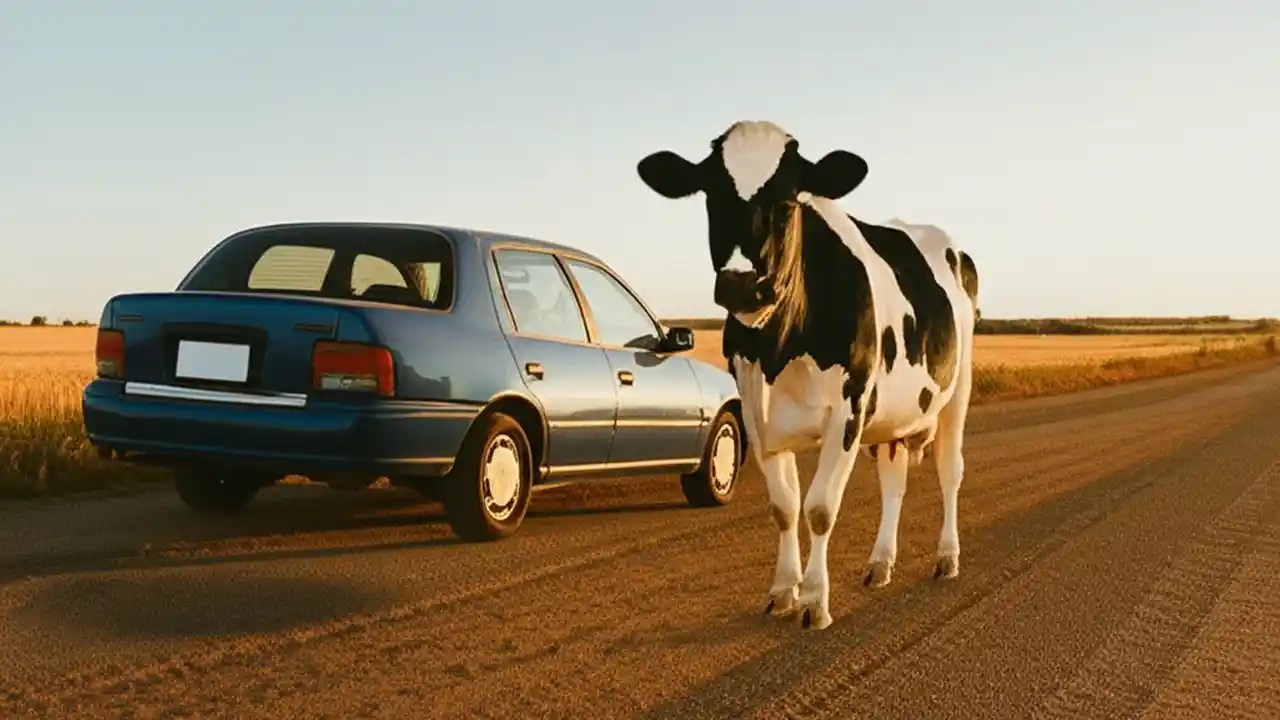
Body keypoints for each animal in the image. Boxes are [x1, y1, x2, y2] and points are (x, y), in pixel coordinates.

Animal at [636, 120, 980, 630]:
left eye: (787, 202)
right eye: (711, 196)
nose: (742, 284)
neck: (779, 347)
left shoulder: (848, 413)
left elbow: (819, 509)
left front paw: (815, 602)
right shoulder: (757, 417)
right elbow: (784, 508)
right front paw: (783, 590)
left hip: (957, 390)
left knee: (950, 472)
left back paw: (947, 557)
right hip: (895, 415)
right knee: (894, 481)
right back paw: (881, 563)